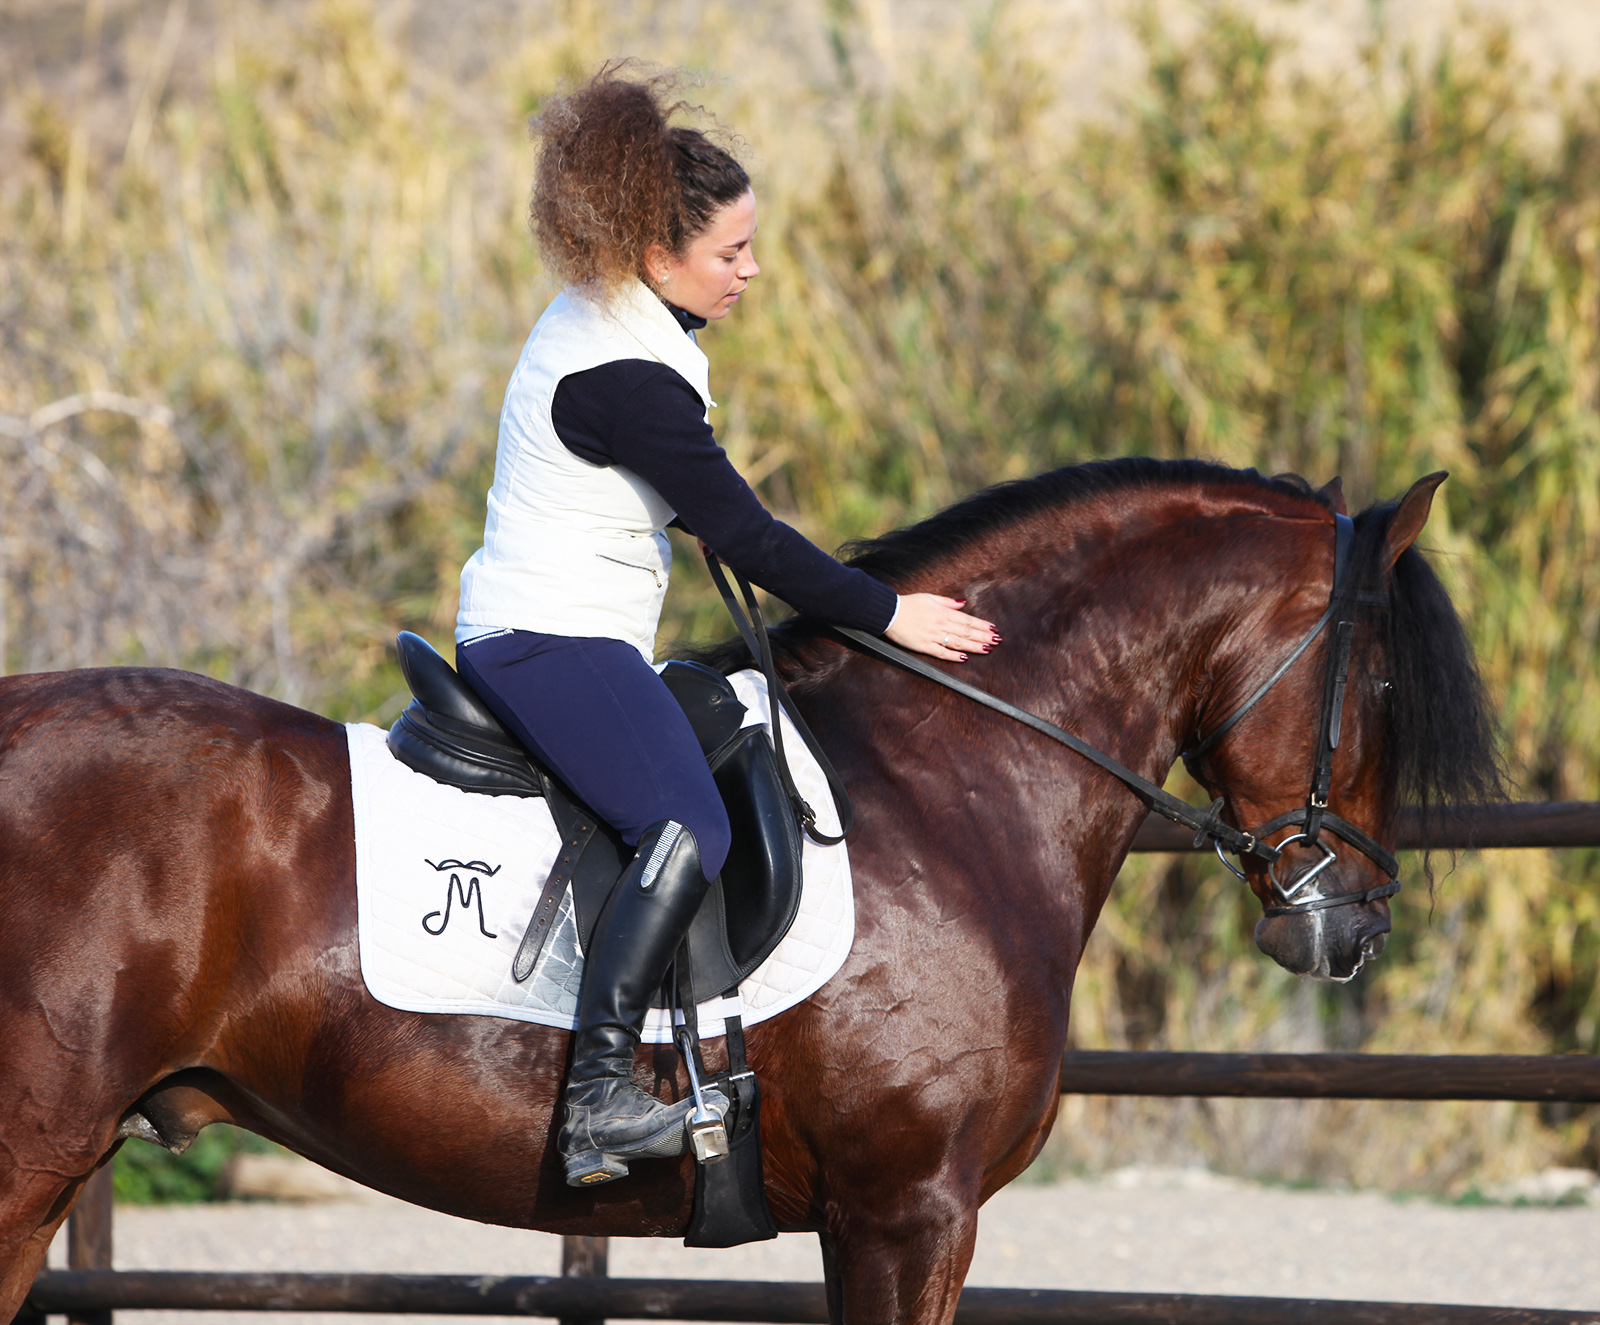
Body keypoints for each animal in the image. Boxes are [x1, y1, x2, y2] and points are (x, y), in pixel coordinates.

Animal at [0, 458, 1500, 1324]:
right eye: (1377, 682)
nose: (1349, 925)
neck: (947, 776)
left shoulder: (873, 1220)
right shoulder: (911, 1209)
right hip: (29, 1161)